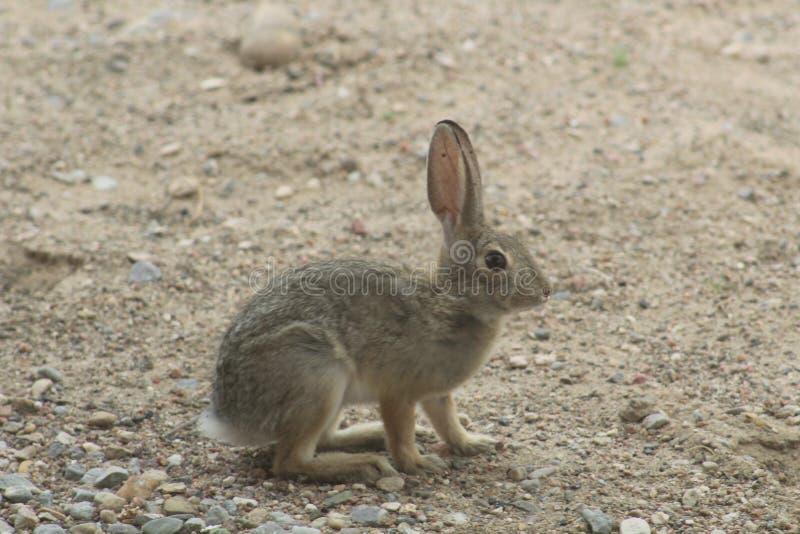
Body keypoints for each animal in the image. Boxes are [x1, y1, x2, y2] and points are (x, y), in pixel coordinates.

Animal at [199, 120, 551, 482]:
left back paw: (371, 437)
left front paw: (474, 443)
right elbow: (401, 433)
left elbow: (448, 422)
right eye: (495, 261)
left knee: (323, 440)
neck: (454, 301)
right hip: (317, 378)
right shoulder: (398, 391)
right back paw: (367, 464)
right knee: (291, 461)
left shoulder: (437, 394)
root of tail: (231, 416)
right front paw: (420, 464)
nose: (546, 291)